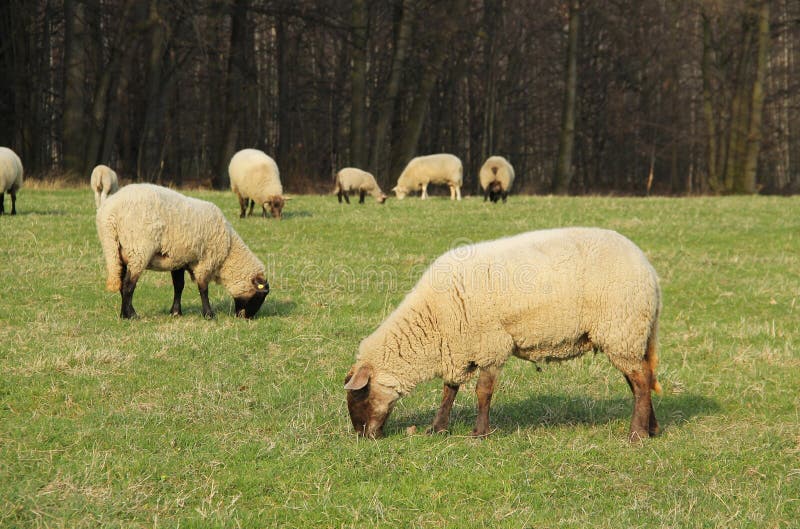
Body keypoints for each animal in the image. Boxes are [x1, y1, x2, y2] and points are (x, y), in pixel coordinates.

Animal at [96, 183, 269, 319]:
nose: (246, 318)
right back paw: (130, 315)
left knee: (121, 284)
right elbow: (203, 288)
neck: (228, 252)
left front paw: (176, 312)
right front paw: (209, 314)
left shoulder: (177, 259)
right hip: (139, 250)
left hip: (117, 252)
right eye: (260, 296)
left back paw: (125, 313)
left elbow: (179, 286)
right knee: (128, 285)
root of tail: (109, 214)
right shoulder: (206, 261)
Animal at [344, 227, 662, 442]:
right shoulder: (458, 346)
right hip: (631, 336)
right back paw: (652, 428)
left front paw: (479, 433)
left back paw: (636, 434)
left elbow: (482, 391)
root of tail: (650, 272)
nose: (363, 436)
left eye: (359, 395)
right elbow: (449, 390)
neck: (432, 319)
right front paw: (437, 428)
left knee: (641, 381)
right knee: (642, 380)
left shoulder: (491, 344)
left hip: (622, 330)